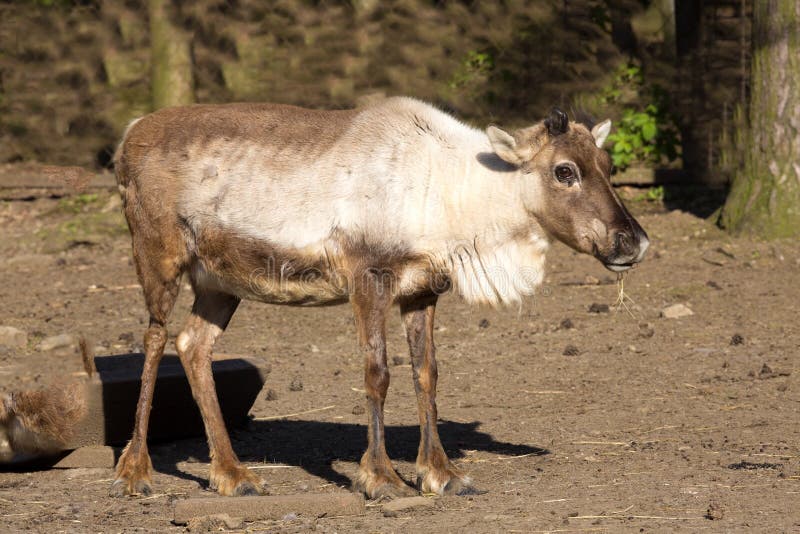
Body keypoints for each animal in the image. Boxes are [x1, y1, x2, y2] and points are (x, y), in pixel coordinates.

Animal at [110, 97, 649, 499]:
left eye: (606, 164)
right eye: (564, 170)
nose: (633, 242)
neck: (457, 193)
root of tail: (127, 137)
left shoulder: (424, 289)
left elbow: (427, 374)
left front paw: (441, 474)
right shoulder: (368, 278)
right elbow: (378, 374)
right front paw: (381, 478)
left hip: (219, 283)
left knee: (193, 344)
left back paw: (233, 475)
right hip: (157, 252)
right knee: (155, 338)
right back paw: (135, 470)